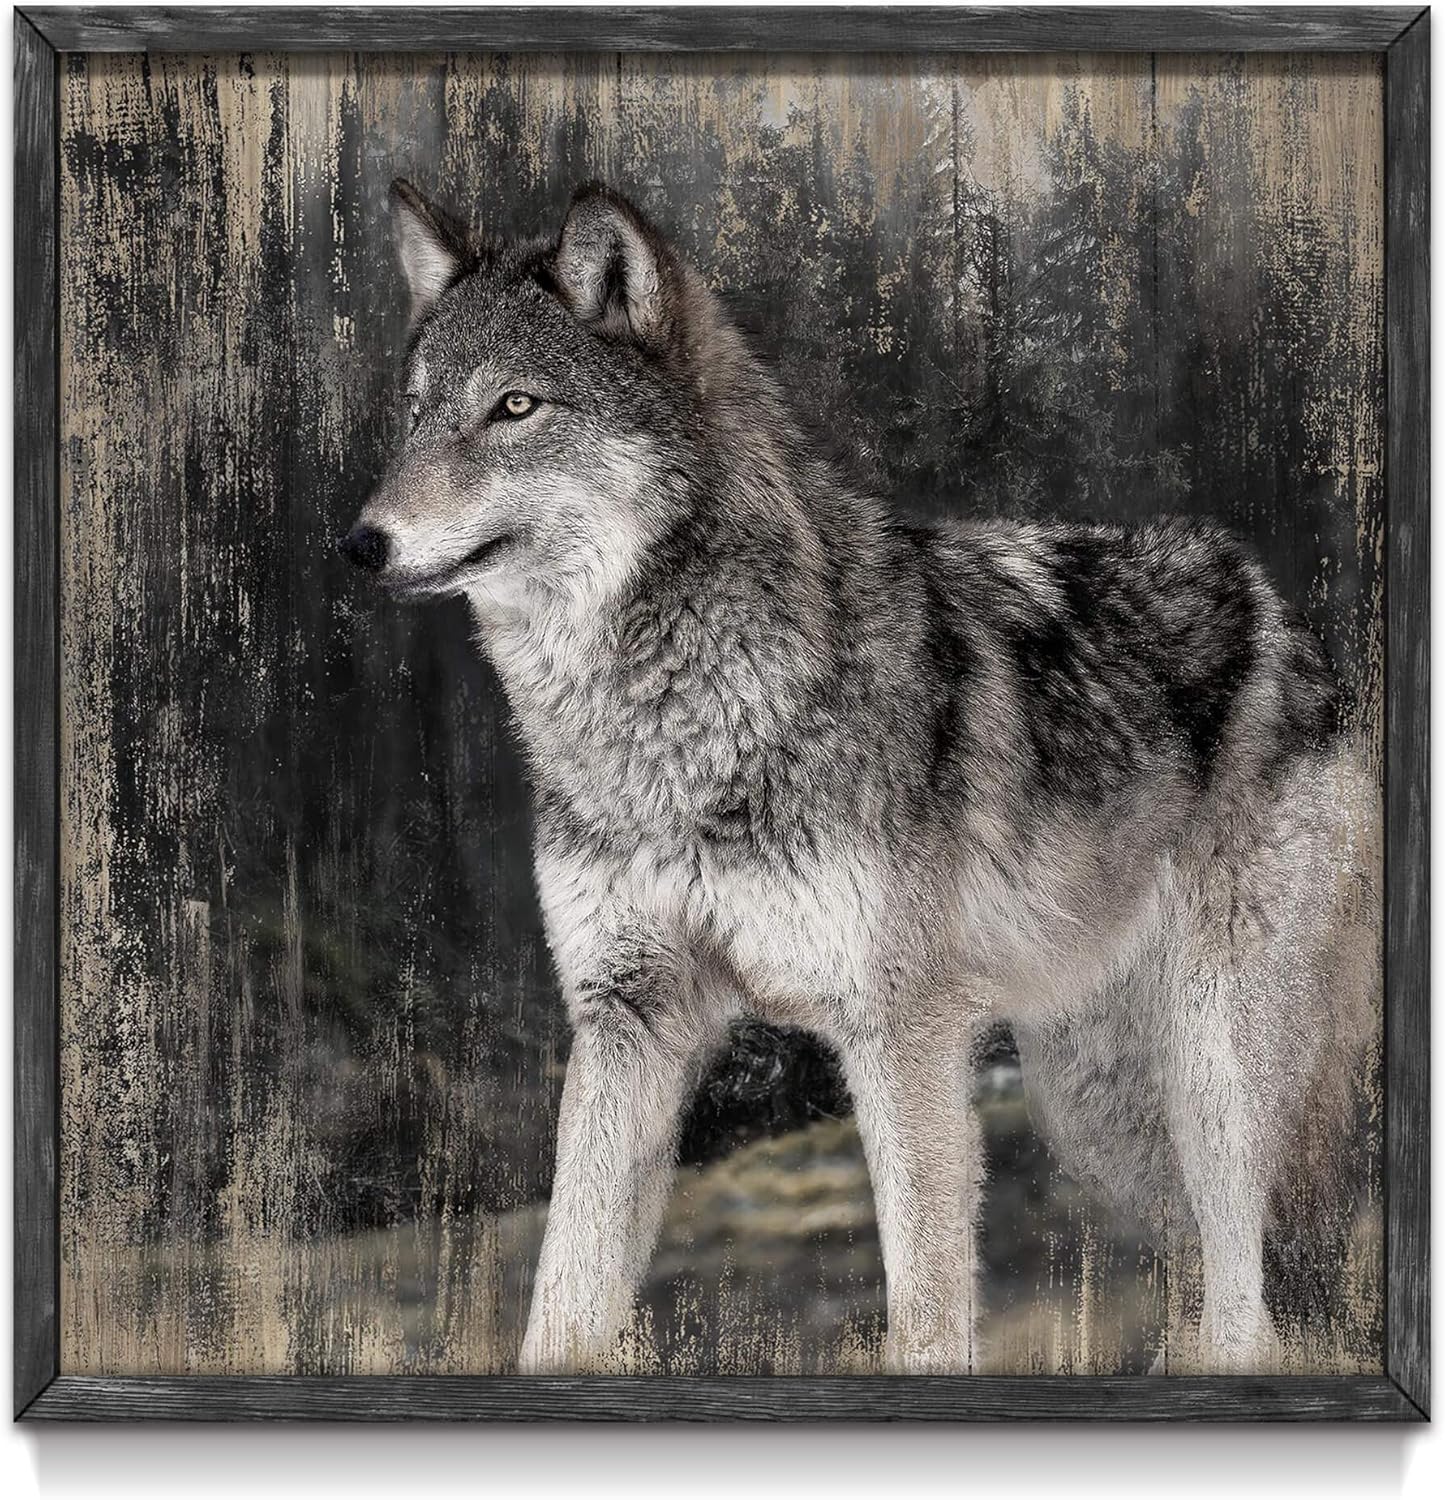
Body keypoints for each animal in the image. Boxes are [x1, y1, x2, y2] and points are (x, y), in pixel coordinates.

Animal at [342, 178, 1379, 1375]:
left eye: (515, 406)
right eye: (417, 412)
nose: (360, 544)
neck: (676, 740)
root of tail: (1278, 606)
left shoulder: (899, 1029)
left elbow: (926, 1311)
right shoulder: (626, 1018)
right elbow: (564, 1293)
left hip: (1214, 1071)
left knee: (1249, 1289)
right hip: (1094, 1109)